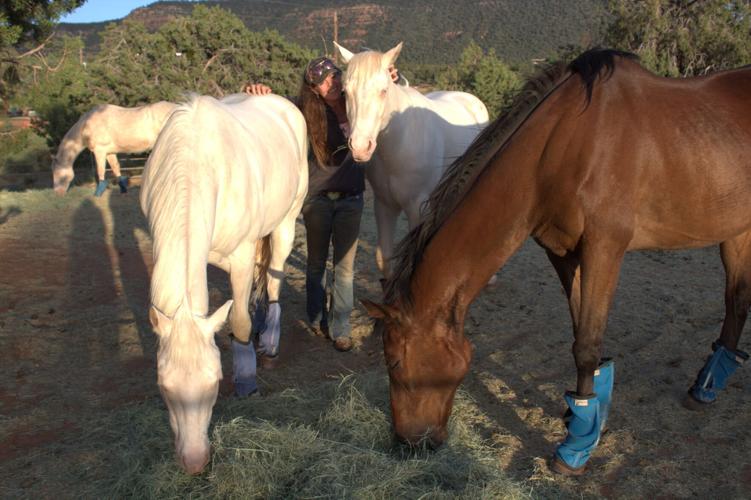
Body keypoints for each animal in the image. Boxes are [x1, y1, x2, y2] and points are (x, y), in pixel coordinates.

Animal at [140, 93, 307, 474]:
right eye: (164, 387)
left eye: (215, 382)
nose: (194, 461)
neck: (192, 166)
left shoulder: (241, 256)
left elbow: (240, 319)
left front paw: (246, 381)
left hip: (286, 222)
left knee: (273, 279)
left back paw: (269, 339)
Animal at [334, 42, 489, 278]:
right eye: (345, 92)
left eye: (383, 91)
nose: (360, 147)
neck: (401, 141)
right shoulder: (384, 205)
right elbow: (384, 257)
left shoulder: (416, 207)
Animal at [362, 49, 751, 475]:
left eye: (395, 363)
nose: (407, 443)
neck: (561, 149)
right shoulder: (562, 253)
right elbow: (581, 334)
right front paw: (586, 418)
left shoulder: (604, 249)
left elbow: (588, 344)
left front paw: (576, 446)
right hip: (737, 230)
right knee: (736, 300)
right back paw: (705, 387)